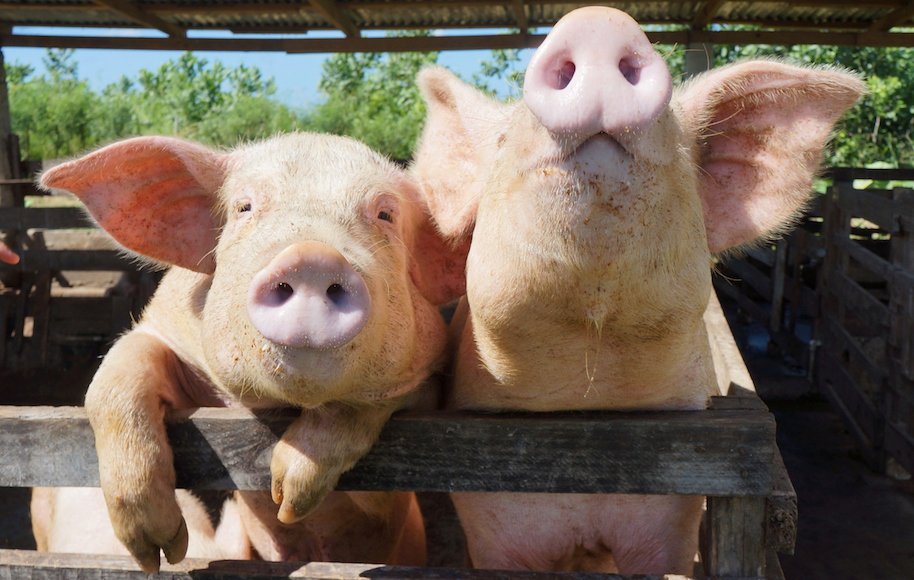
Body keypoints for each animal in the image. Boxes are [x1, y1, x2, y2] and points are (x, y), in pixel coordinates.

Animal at [37, 132, 465, 571]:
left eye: (385, 214)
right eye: (243, 207)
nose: (311, 257)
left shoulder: (429, 383)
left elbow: (366, 410)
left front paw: (286, 495)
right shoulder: (162, 330)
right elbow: (117, 375)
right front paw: (159, 552)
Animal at [411, 6, 864, 574]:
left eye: (679, 140)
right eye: (502, 142)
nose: (598, 19)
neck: (590, 393)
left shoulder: (675, 508)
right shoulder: (492, 520)